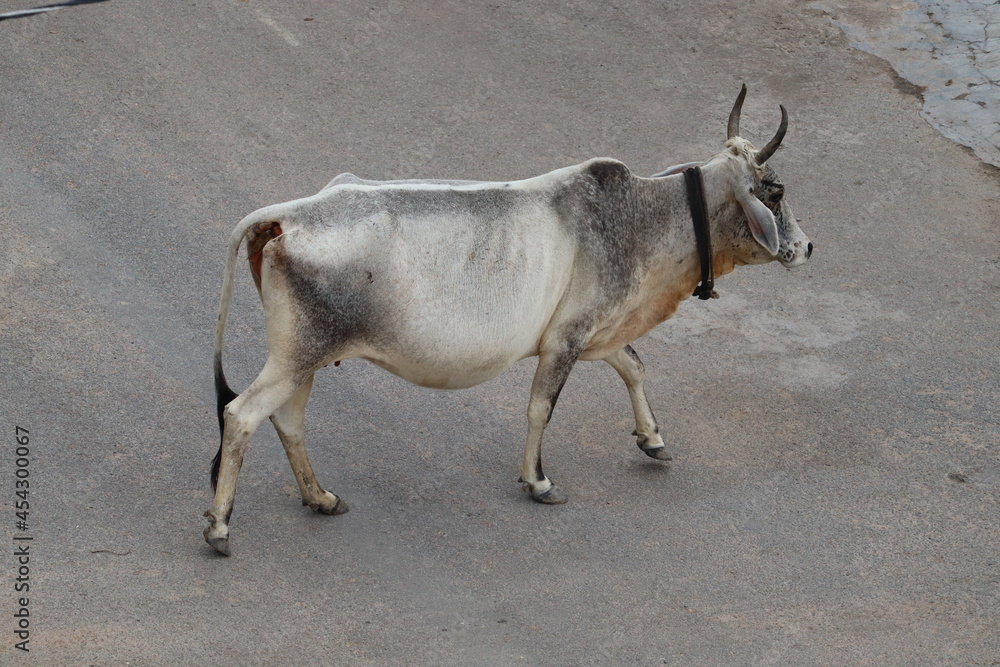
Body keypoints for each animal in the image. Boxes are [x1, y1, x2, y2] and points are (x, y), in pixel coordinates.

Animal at [204, 86, 812, 555]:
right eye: (776, 190)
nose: (807, 247)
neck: (640, 217)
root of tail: (287, 215)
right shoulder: (566, 339)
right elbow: (542, 408)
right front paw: (538, 481)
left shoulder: (595, 330)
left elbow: (633, 367)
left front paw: (653, 438)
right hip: (296, 355)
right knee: (241, 414)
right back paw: (219, 528)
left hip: (303, 358)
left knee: (288, 421)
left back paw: (319, 497)